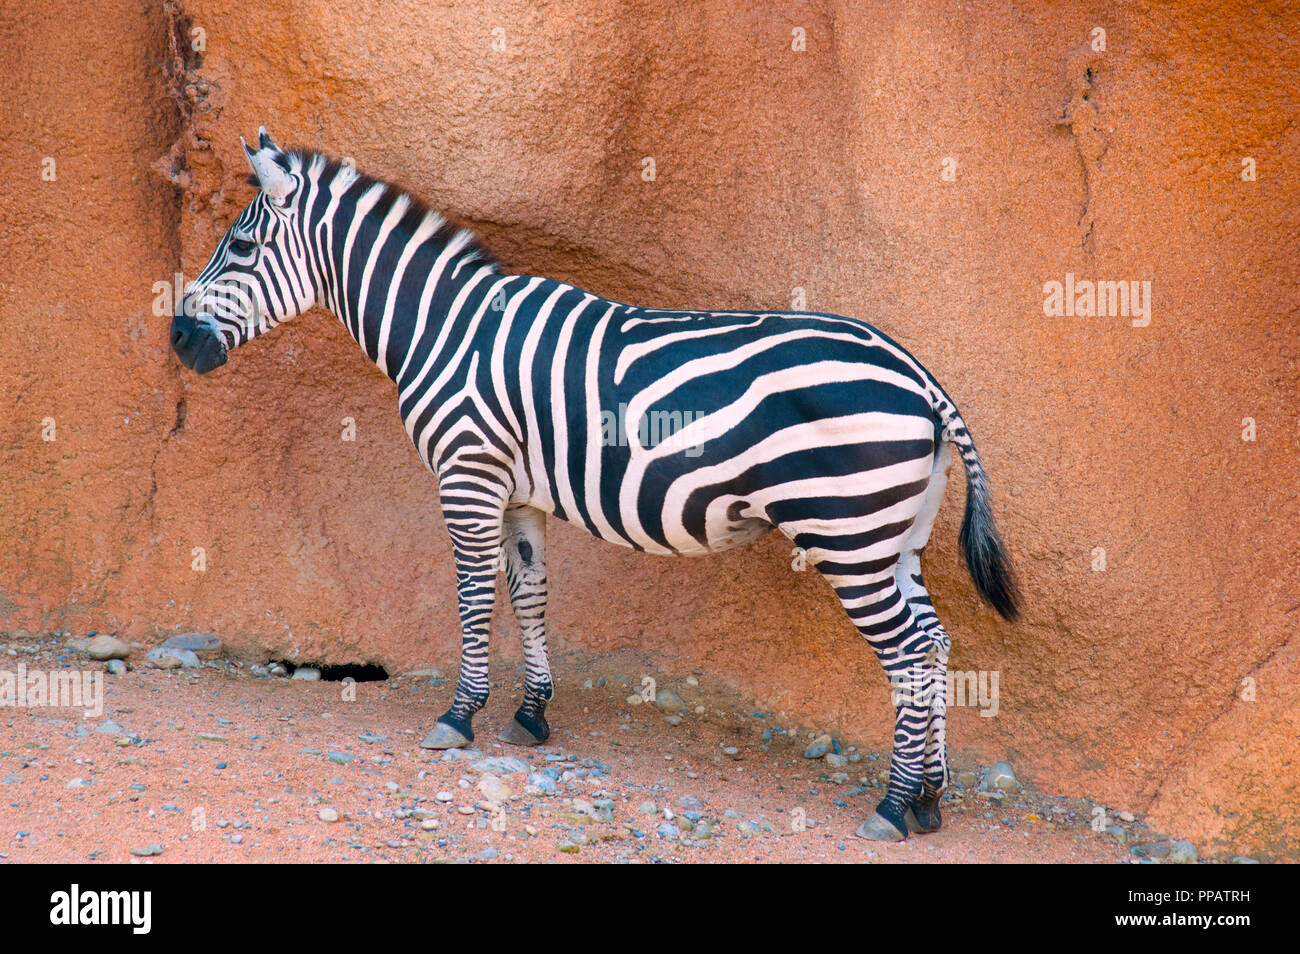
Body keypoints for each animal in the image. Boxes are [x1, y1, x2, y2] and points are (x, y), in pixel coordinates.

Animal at [170, 128, 1019, 841]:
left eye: (240, 245)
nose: (177, 338)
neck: (444, 330)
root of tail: (918, 374)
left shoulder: (468, 474)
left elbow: (472, 597)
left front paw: (459, 714)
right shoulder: (517, 492)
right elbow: (529, 594)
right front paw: (531, 713)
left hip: (847, 531)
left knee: (908, 650)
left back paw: (893, 804)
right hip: (893, 536)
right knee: (935, 642)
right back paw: (931, 798)